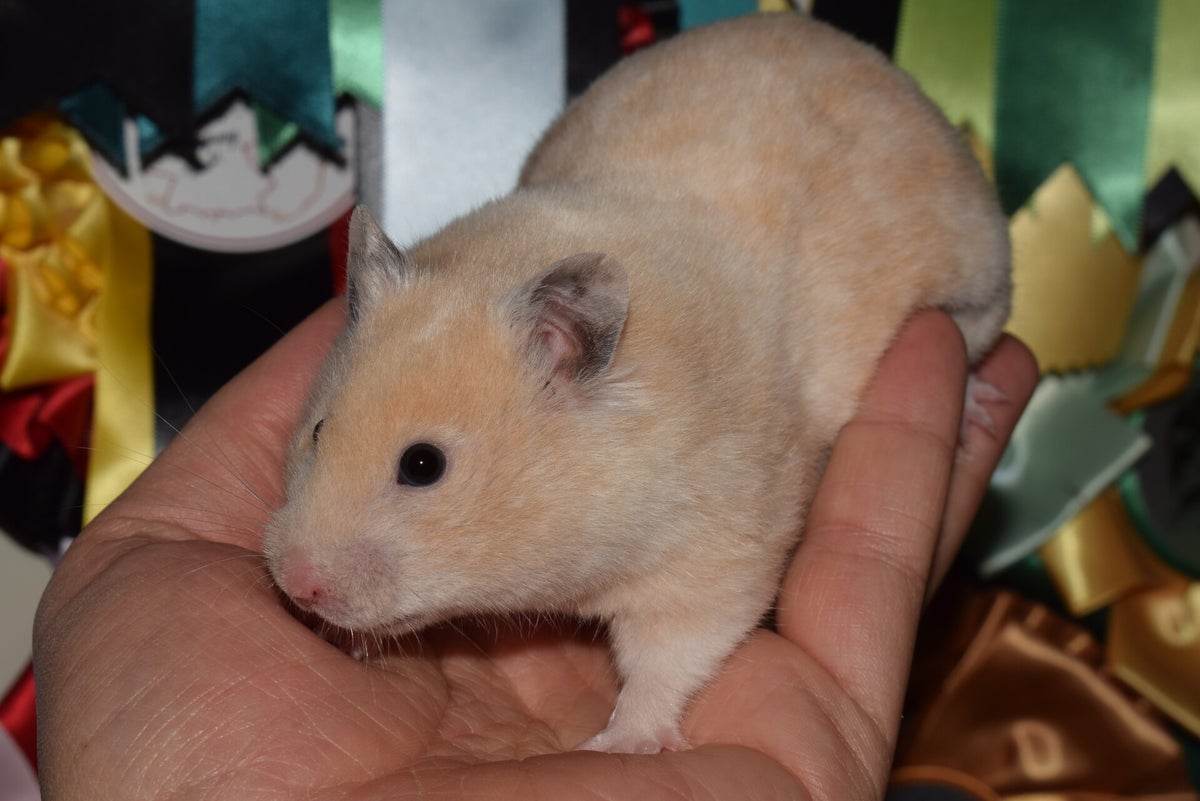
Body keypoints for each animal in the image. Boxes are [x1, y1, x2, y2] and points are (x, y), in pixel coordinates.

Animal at [262, 12, 1010, 754]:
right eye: (319, 430)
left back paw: (979, 405)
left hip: (976, 281)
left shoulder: (717, 547)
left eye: (423, 466)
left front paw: (621, 742)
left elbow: (670, 654)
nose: (296, 586)